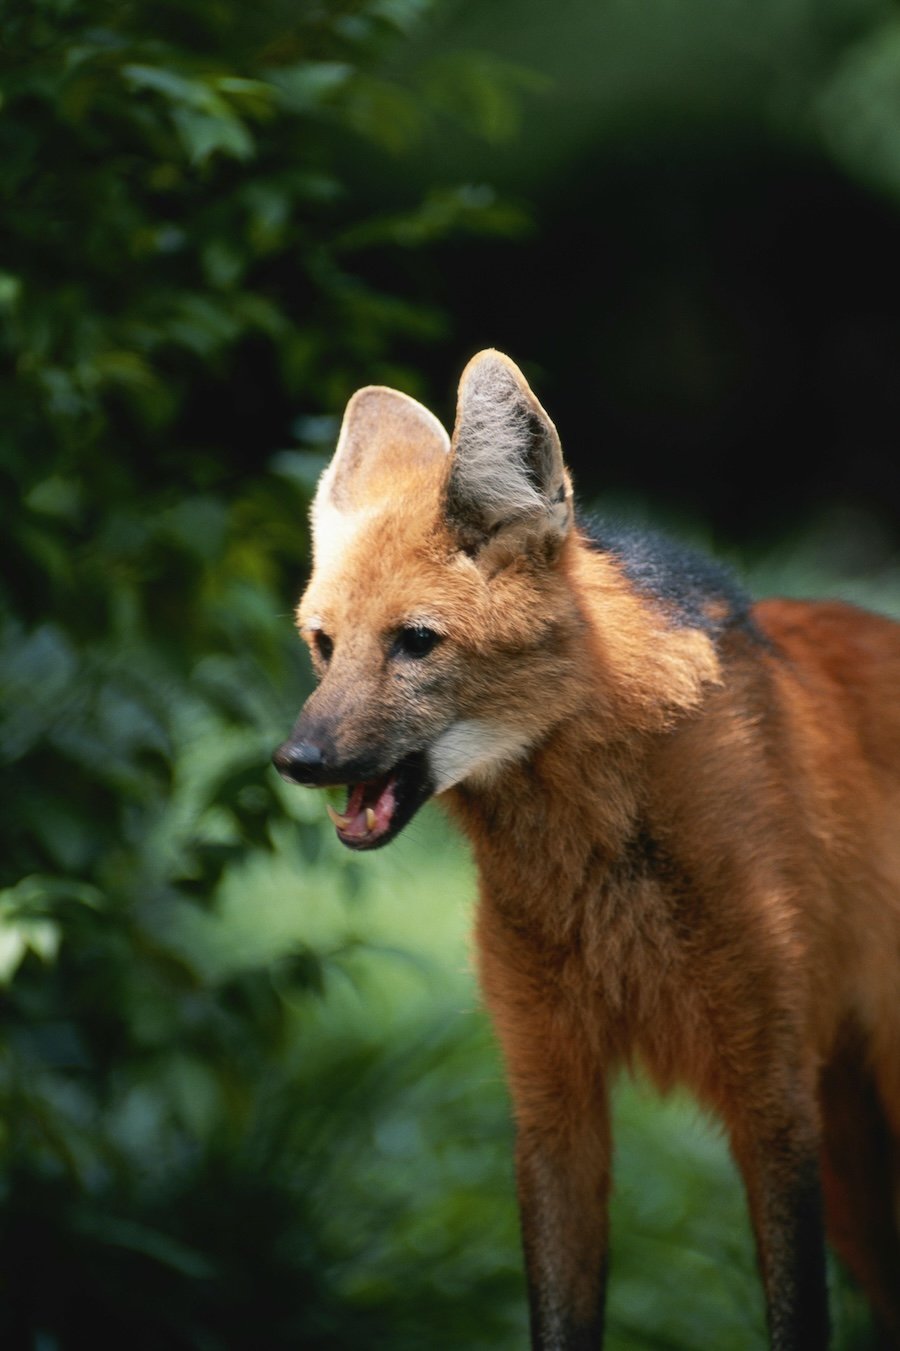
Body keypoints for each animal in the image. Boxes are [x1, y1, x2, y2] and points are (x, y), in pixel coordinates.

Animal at [273, 349, 900, 1350]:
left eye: (416, 642)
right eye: (324, 646)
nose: (299, 760)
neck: (598, 852)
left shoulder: (773, 1097)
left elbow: (794, 1313)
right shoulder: (551, 1097)